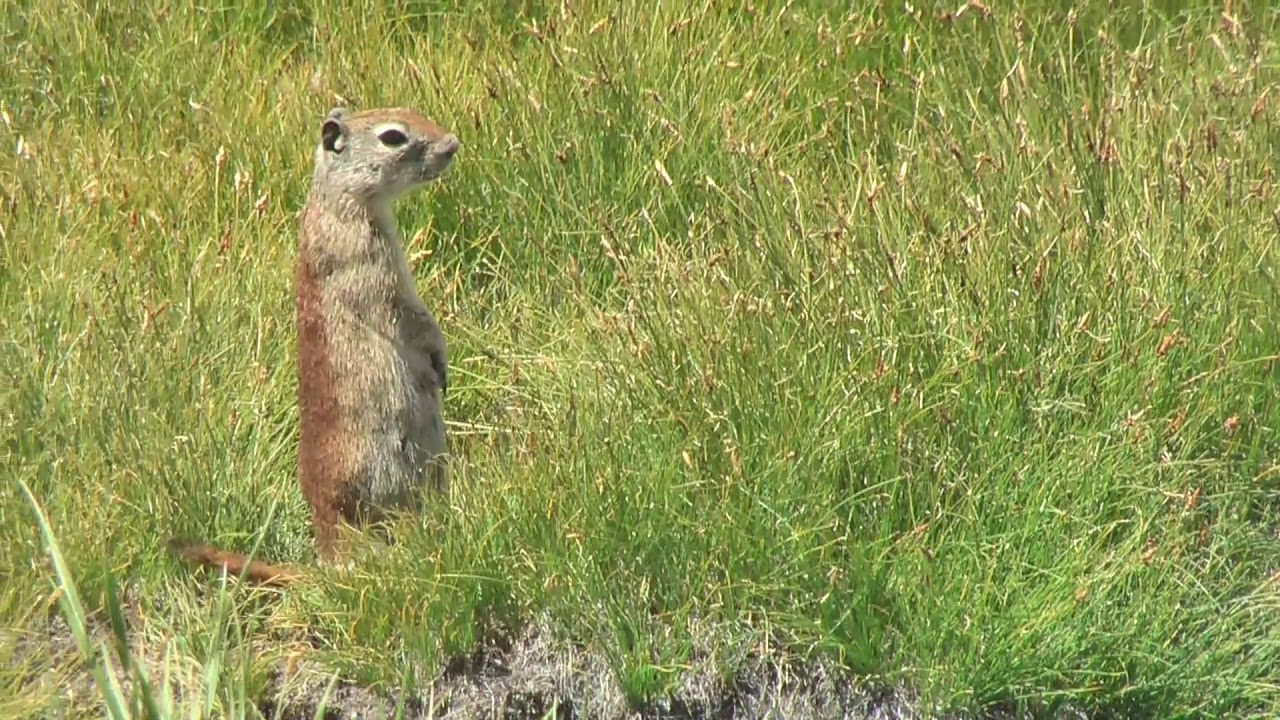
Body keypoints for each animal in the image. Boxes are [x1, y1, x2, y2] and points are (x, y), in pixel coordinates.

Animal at [167, 106, 461, 587]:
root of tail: (327, 554)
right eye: (393, 137)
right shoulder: (375, 274)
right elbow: (413, 321)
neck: (337, 203)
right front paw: (439, 360)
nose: (452, 144)